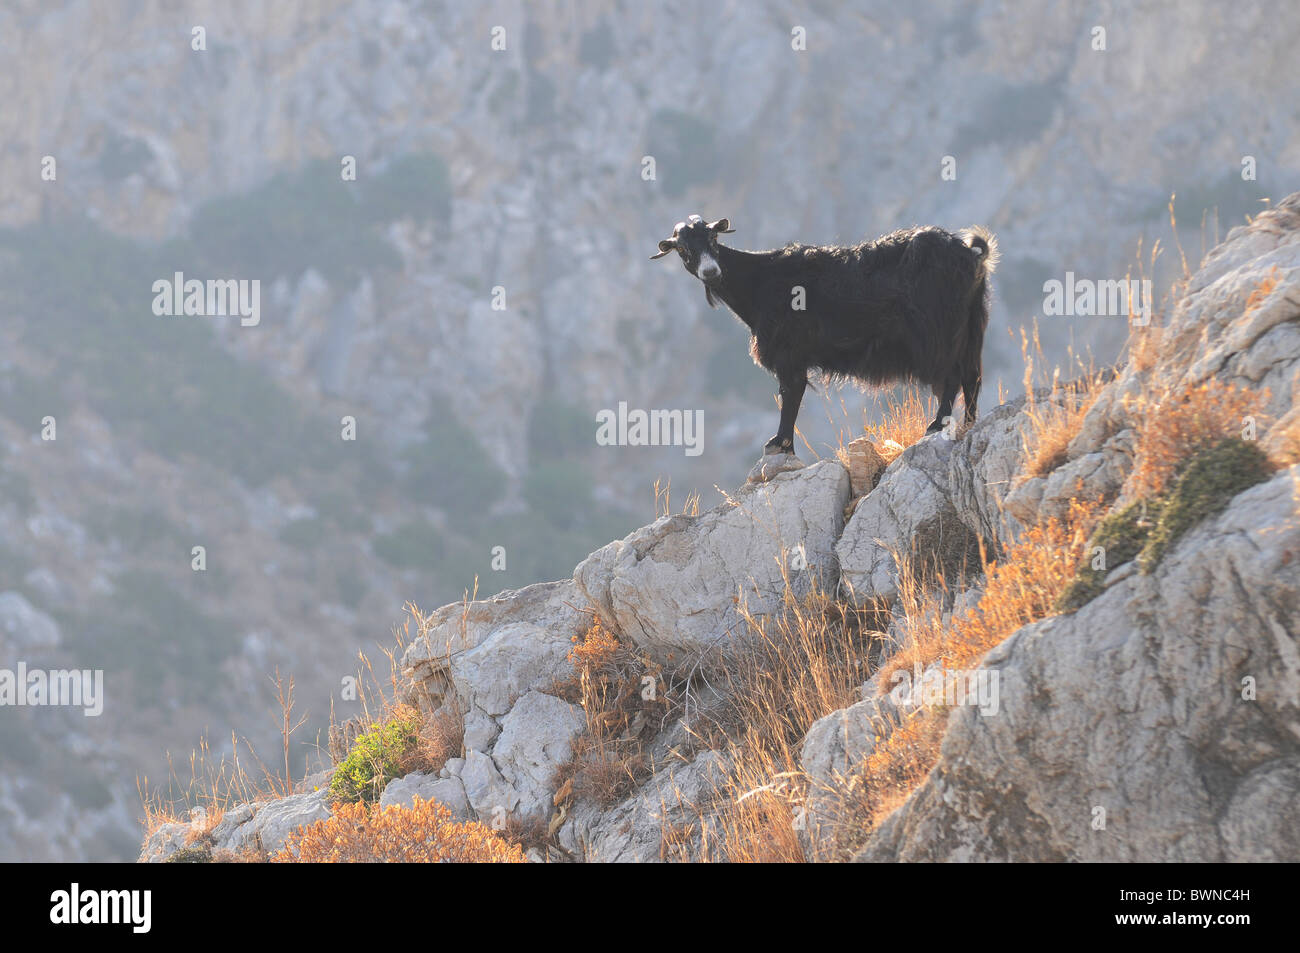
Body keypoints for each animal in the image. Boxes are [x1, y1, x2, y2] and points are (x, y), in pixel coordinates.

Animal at [651, 214, 999, 455]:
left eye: (712, 238)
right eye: (682, 249)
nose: (711, 272)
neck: (760, 280)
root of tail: (971, 255)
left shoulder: (789, 357)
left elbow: (790, 397)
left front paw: (779, 444)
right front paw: (783, 446)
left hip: (939, 333)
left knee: (951, 377)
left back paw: (937, 425)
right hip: (972, 328)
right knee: (972, 377)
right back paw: (968, 423)